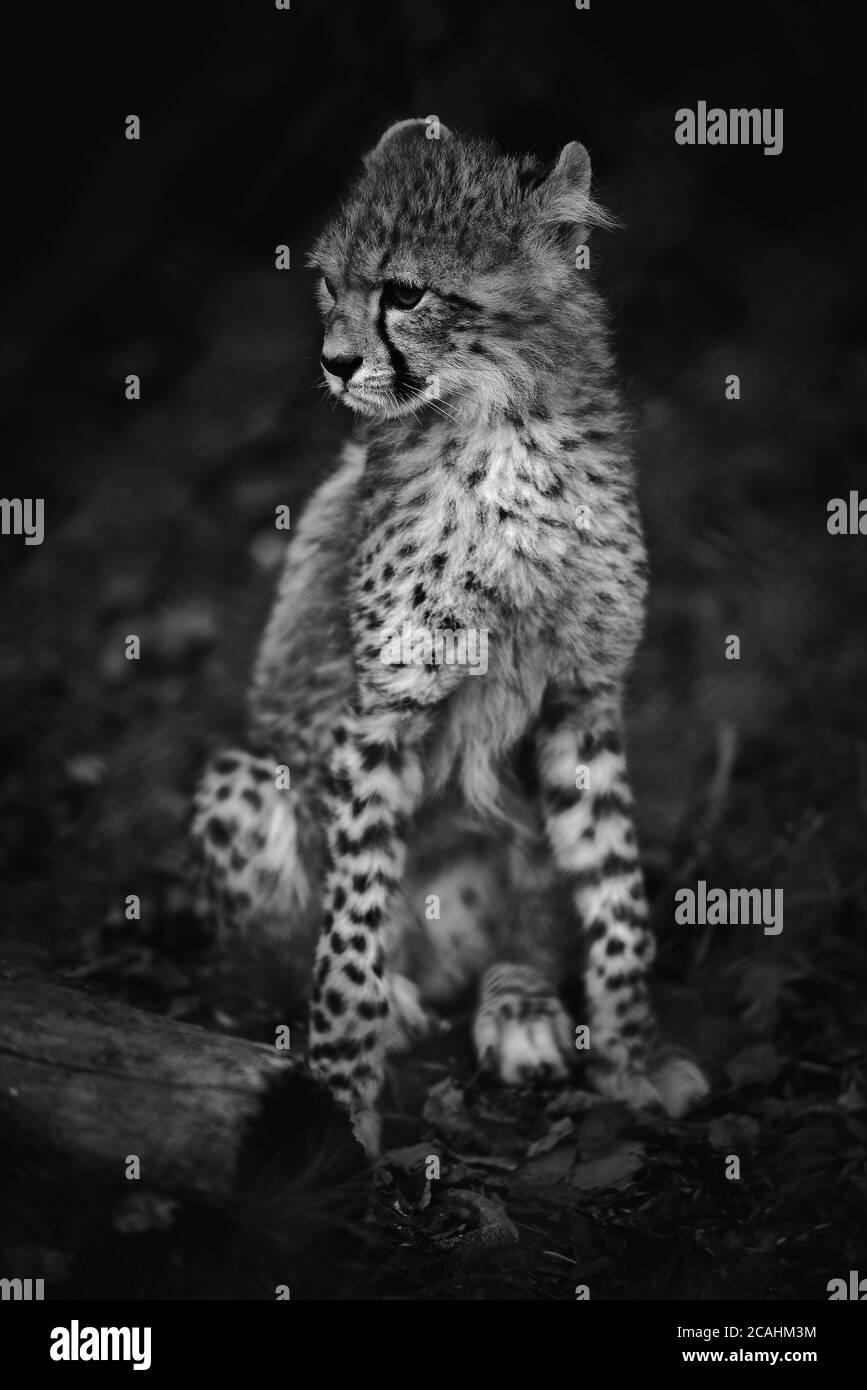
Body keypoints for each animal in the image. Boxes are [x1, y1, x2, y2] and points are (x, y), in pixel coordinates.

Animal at [191, 118, 709, 1155]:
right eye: (328, 284)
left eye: (404, 292)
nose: (335, 363)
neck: (502, 424)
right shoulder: (382, 711)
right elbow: (349, 927)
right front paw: (341, 1101)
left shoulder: (584, 700)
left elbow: (617, 897)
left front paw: (632, 1059)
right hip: (246, 775)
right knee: (286, 953)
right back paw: (398, 1002)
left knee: (528, 925)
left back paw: (516, 1002)